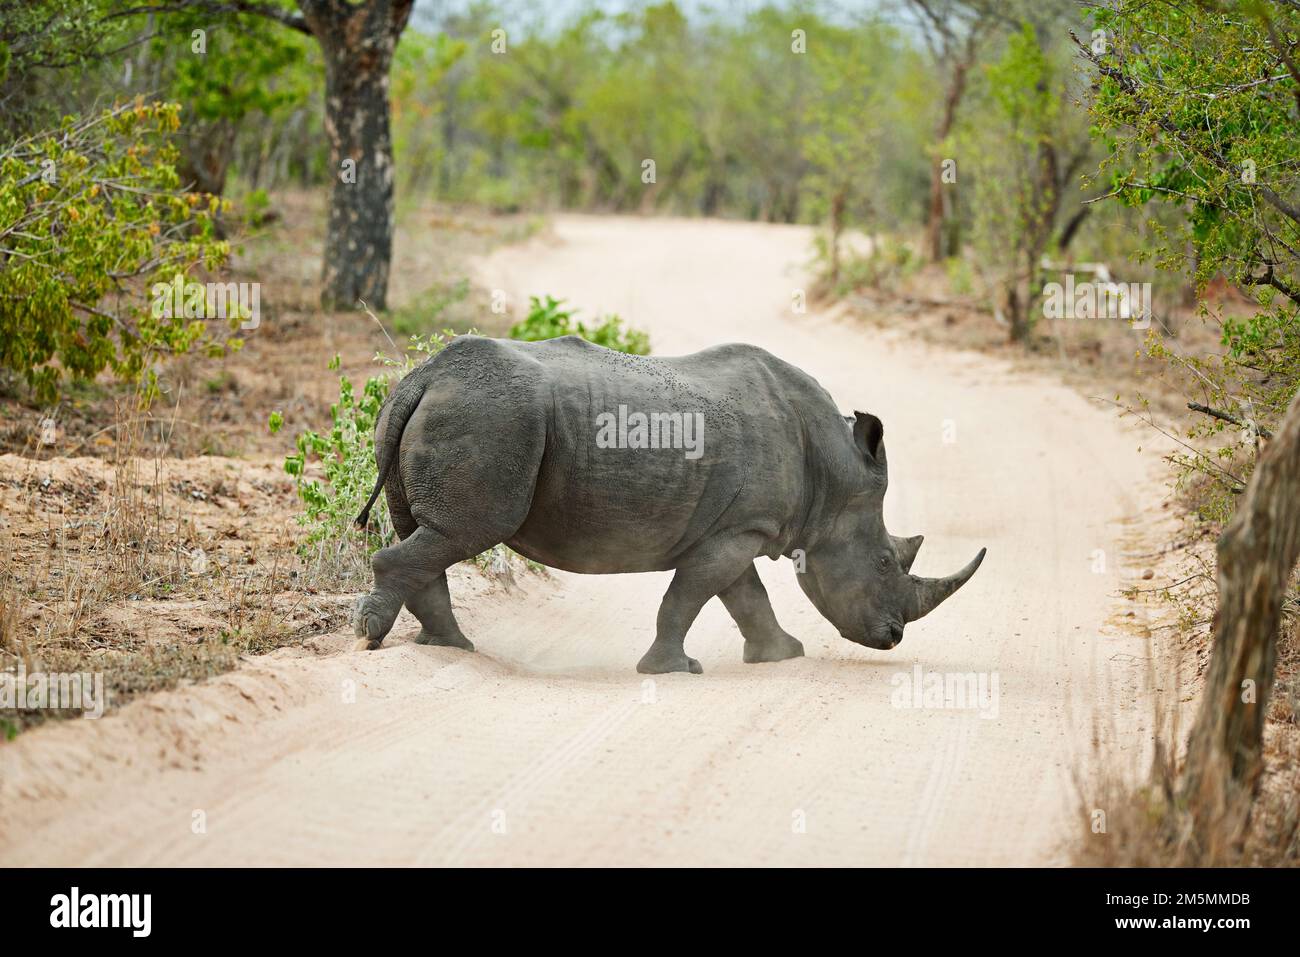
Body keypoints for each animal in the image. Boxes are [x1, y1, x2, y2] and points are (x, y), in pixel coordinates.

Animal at [352, 334, 986, 674]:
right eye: (884, 562)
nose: (894, 637)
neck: (831, 477)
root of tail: (423, 378)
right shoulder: (740, 530)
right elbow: (690, 596)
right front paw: (675, 670)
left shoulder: (737, 528)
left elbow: (743, 597)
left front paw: (782, 656)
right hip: (490, 417)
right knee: (461, 533)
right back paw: (374, 640)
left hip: (440, 411)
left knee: (429, 533)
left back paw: (449, 648)